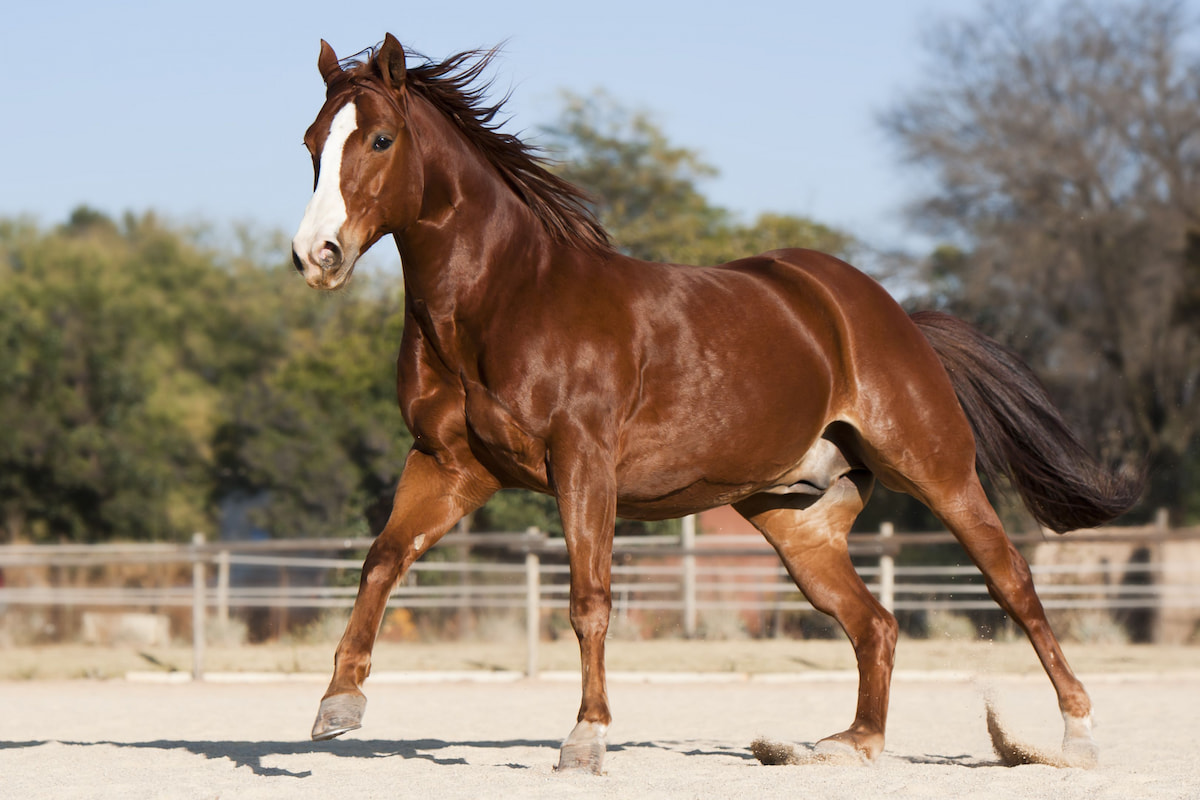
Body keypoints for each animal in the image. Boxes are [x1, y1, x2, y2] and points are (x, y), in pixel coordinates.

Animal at [291, 34, 1141, 774]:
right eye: (311, 144)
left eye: (380, 140)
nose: (315, 256)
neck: (505, 298)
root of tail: (888, 314)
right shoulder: (450, 466)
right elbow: (383, 558)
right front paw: (338, 704)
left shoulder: (581, 465)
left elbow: (589, 599)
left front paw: (586, 740)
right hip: (797, 524)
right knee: (876, 623)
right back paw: (850, 746)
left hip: (938, 471)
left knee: (1011, 584)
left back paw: (1076, 738)